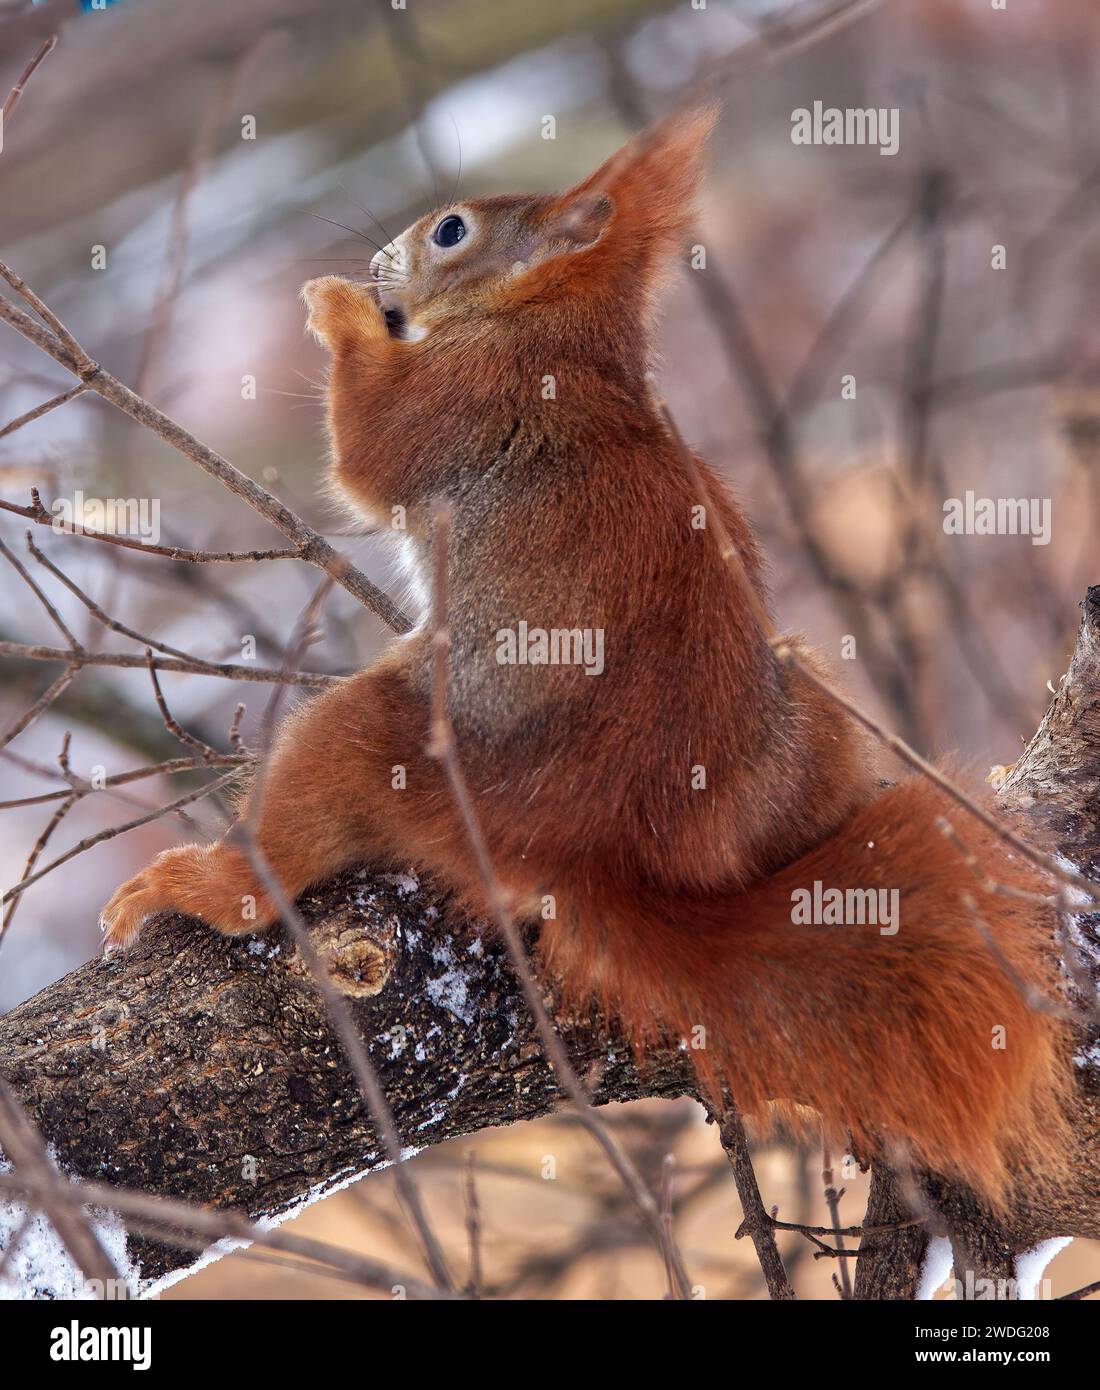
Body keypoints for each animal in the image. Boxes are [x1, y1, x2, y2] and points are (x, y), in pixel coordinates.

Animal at [101, 107, 1070, 1200]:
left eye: (451, 231)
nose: (377, 257)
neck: (559, 329)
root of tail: (596, 848)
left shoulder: (468, 396)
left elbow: (372, 450)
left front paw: (338, 309)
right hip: (811, 723)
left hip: (397, 757)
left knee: (290, 831)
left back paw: (200, 881)